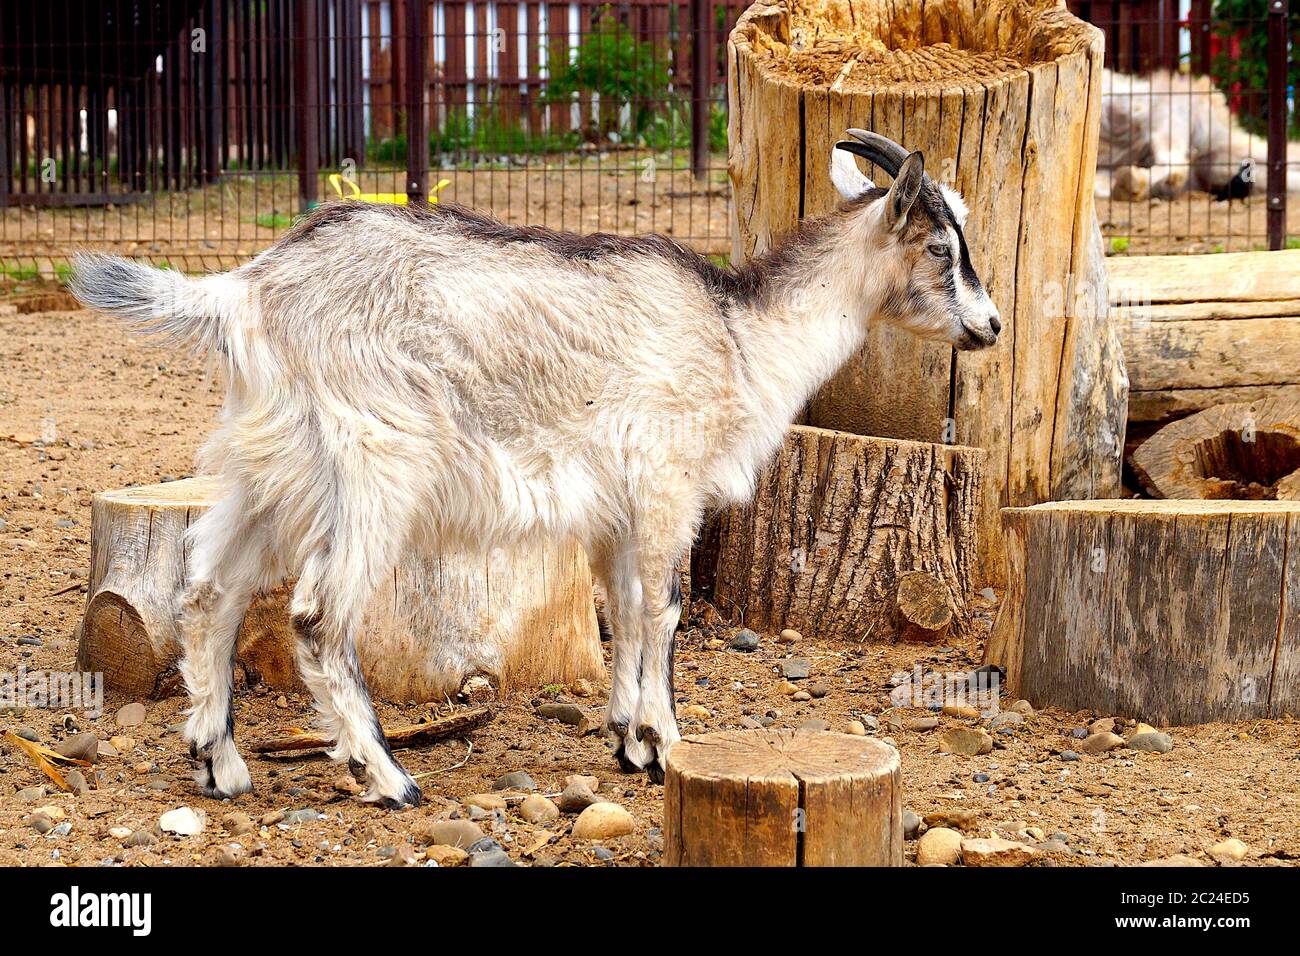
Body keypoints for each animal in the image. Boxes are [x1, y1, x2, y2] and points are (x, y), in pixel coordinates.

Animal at [69, 130, 1000, 808]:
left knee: (207, 590)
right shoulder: (664, 481)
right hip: (376, 465)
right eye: (939, 247)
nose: (990, 326)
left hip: (271, 465)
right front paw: (665, 743)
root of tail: (248, 289)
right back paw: (388, 778)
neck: (739, 335)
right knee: (318, 615)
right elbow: (662, 608)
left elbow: (620, 607)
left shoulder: (614, 507)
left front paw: (627, 740)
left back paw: (219, 763)